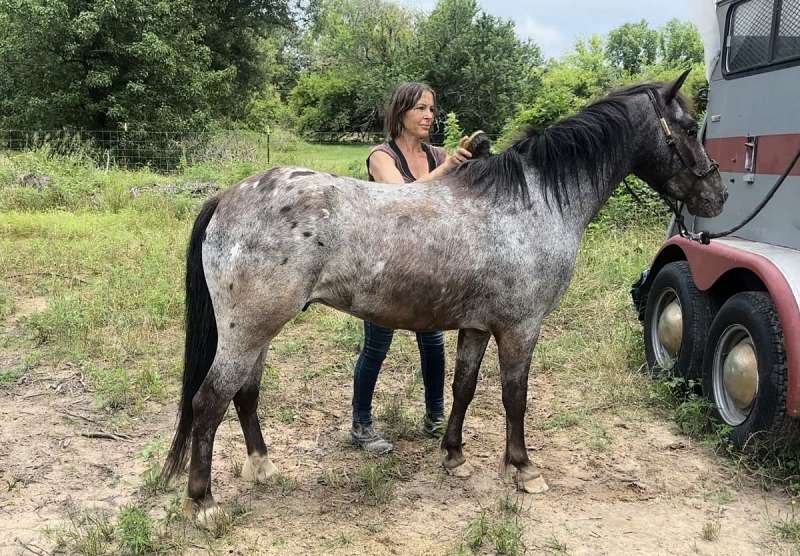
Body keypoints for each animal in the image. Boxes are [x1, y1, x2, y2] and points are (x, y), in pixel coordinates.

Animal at [162, 70, 726, 526]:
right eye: (688, 126)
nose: (716, 195)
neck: (530, 203)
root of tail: (228, 196)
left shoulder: (476, 326)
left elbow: (463, 387)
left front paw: (452, 455)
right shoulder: (521, 328)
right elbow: (514, 397)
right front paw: (524, 469)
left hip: (255, 334)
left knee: (245, 394)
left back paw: (261, 466)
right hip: (249, 331)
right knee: (209, 401)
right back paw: (203, 504)